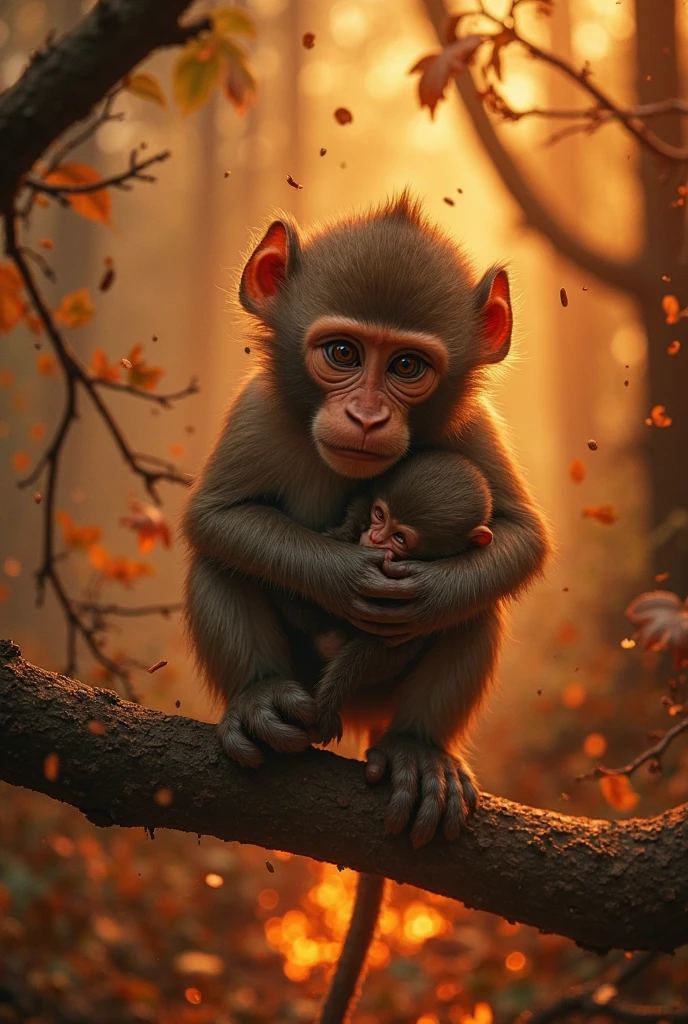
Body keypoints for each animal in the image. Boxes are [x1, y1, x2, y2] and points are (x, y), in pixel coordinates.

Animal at [270, 450, 495, 748]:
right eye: (379, 514)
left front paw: (328, 705)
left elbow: (377, 649)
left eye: (399, 537)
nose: (375, 537)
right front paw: (343, 533)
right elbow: (360, 501)